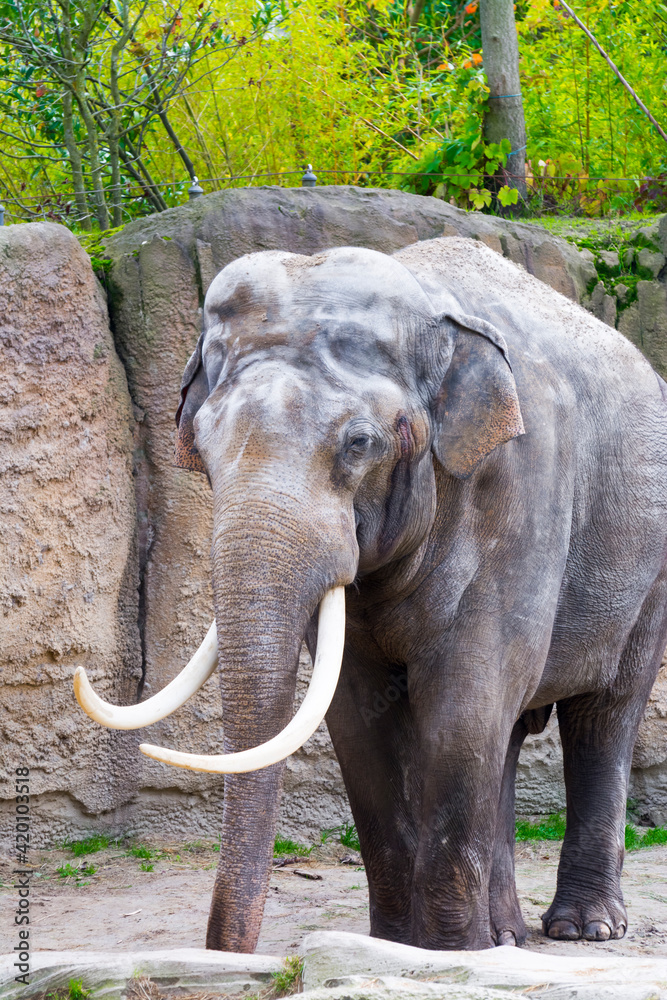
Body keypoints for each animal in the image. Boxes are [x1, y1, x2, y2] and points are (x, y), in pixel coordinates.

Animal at [75, 236, 667, 954]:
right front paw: (399, 947)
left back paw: (584, 929)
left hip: (648, 566)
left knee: (603, 713)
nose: (222, 954)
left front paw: (446, 955)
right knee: (507, 736)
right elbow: (358, 714)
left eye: (359, 444)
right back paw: (506, 939)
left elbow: (464, 699)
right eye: (204, 451)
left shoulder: (519, 486)